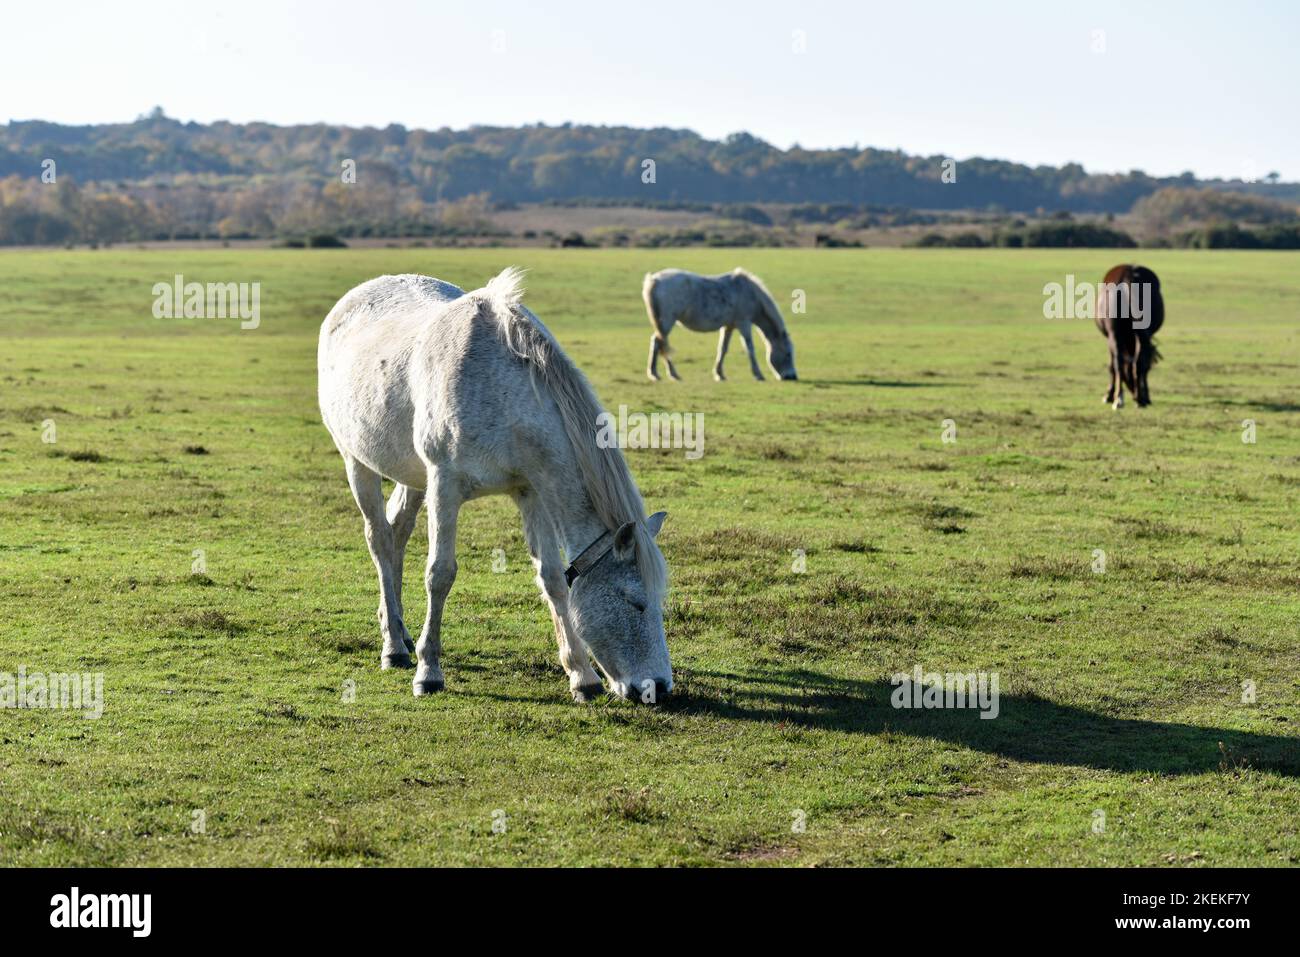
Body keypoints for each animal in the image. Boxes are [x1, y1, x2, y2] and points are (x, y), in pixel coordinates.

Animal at [318, 268, 672, 703]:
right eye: (634, 602)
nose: (659, 687)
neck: (501, 392)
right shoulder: (445, 485)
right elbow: (440, 573)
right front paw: (428, 671)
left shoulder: (531, 490)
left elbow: (553, 579)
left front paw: (582, 676)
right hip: (358, 462)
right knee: (380, 539)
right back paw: (394, 648)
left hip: (411, 475)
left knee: (396, 532)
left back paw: (397, 629)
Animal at [642, 268, 798, 382]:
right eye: (788, 354)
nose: (792, 377)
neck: (749, 293)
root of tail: (654, 279)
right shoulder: (744, 324)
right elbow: (749, 348)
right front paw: (758, 374)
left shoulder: (729, 326)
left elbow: (723, 349)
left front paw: (719, 374)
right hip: (667, 322)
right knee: (659, 343)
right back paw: (667, 374)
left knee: (658, 343)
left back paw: (658, 373)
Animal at [1095, 264, 1164, 408]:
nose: (1132, 392)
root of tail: (1129, 274)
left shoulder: (1110, 338)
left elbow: (1112, 365)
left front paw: (1109, 395)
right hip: (1141, 334)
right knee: (1139, 362)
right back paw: (1138, 400)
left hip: (1116, 334)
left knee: (1120, 363)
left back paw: (1121, 398)